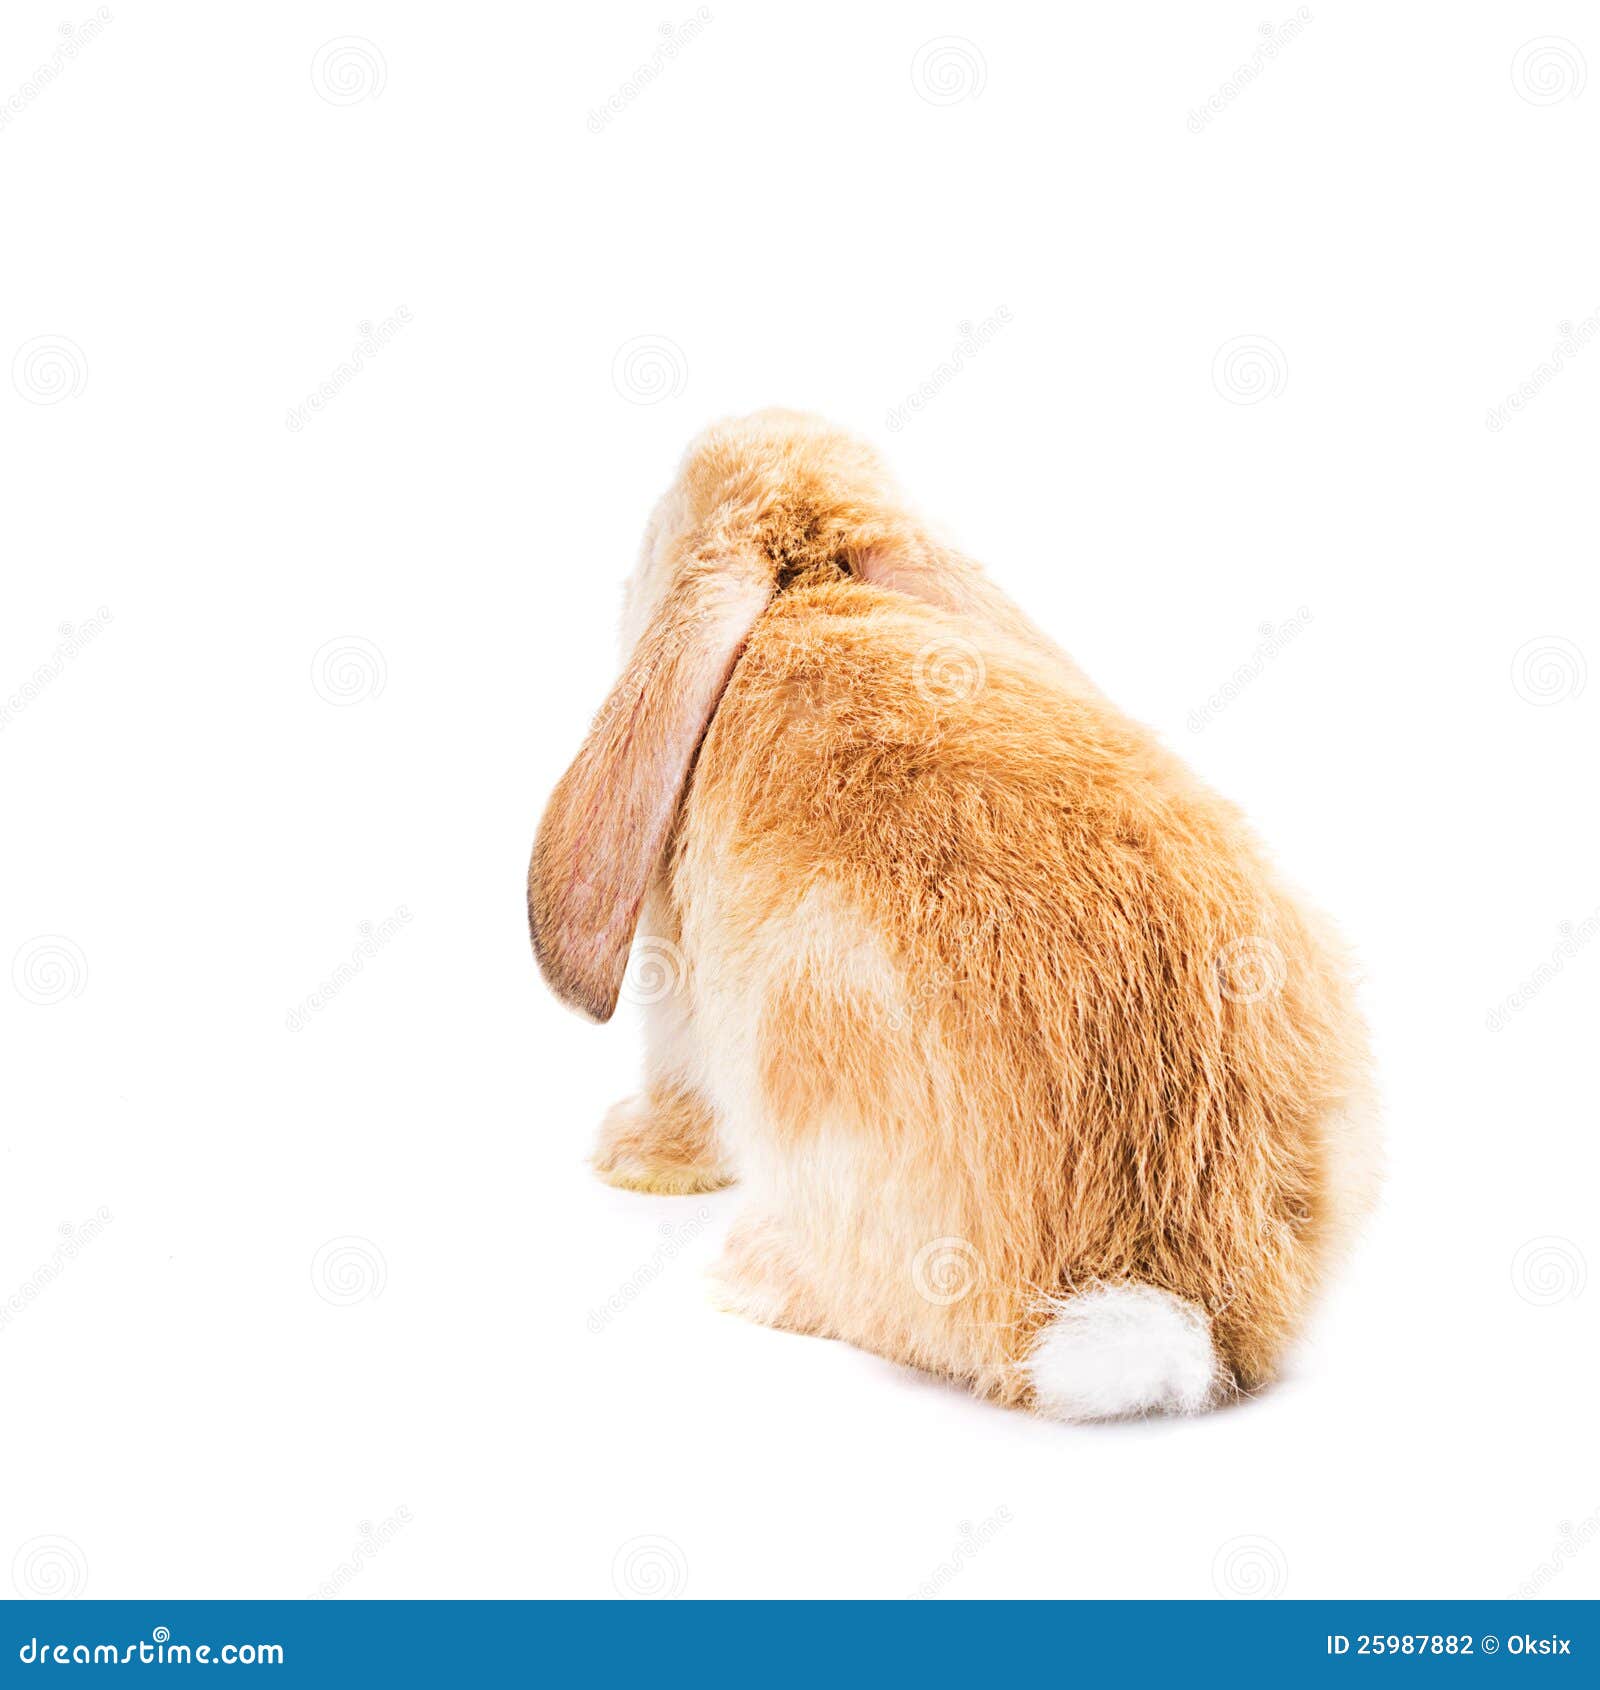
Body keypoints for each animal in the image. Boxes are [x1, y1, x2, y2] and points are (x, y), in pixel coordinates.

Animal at [528, 408, 1379, 1420]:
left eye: (659, 527)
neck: (804, 595)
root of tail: (1167, 1292)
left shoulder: (673, 974)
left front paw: (633, 1156)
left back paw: (754, 1271)